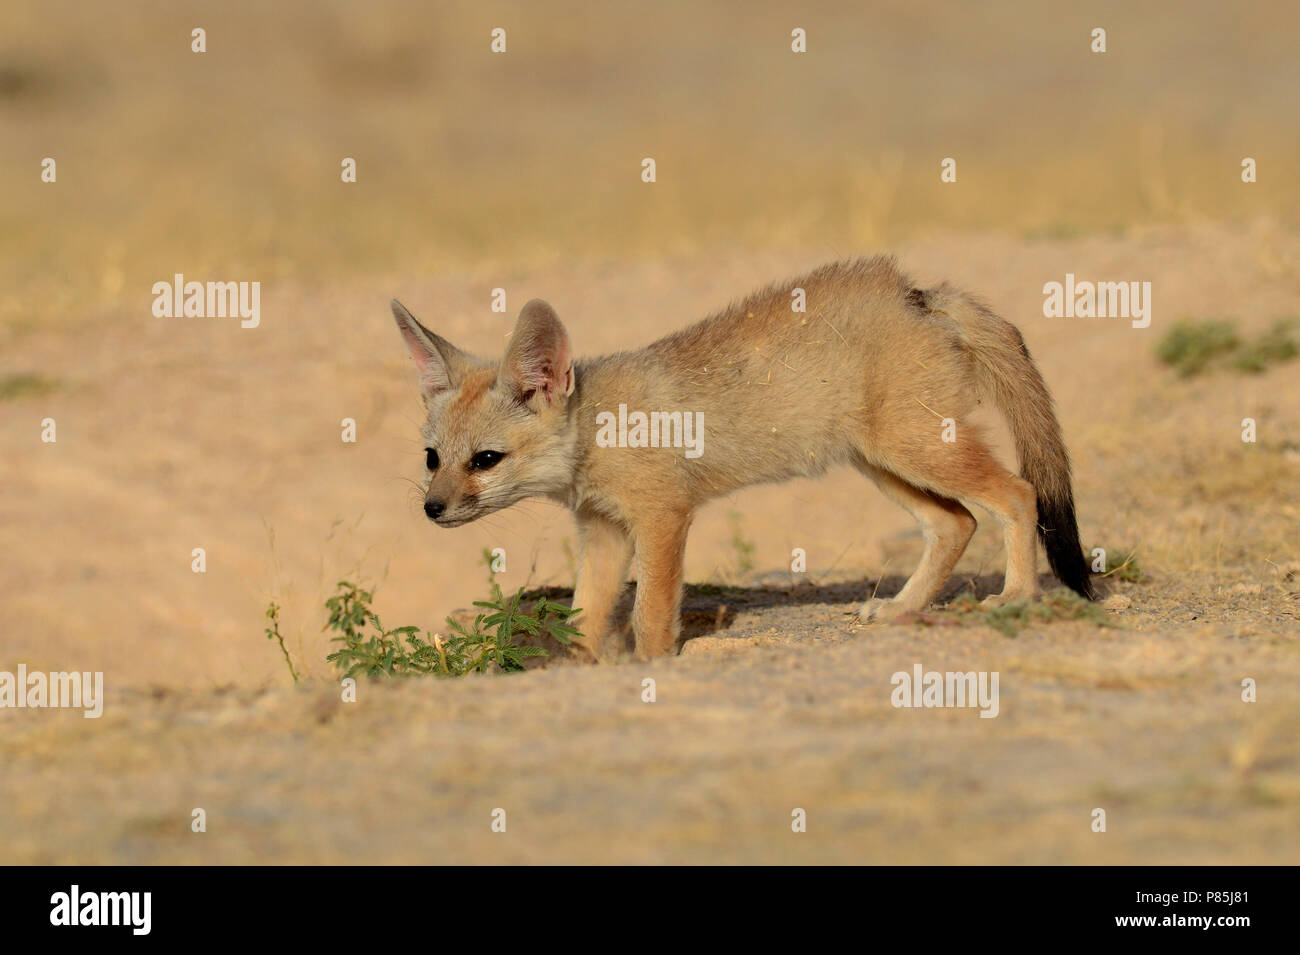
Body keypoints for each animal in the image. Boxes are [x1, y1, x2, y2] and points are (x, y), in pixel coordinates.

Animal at [391, 256, 1095, 662]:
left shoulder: (663, 517)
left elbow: (650, 617)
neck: (598, 426)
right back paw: (900, 608)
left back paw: (1016, 597)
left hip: (916, 450)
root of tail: (918, 291)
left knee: (1018, 496)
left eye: (485, 459)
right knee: (957, 523)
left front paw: (651, 669)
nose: (431, 510)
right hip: (884, 461)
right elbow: (584, 621)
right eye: (433, 458)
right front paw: (584, 673)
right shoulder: (604, 531)